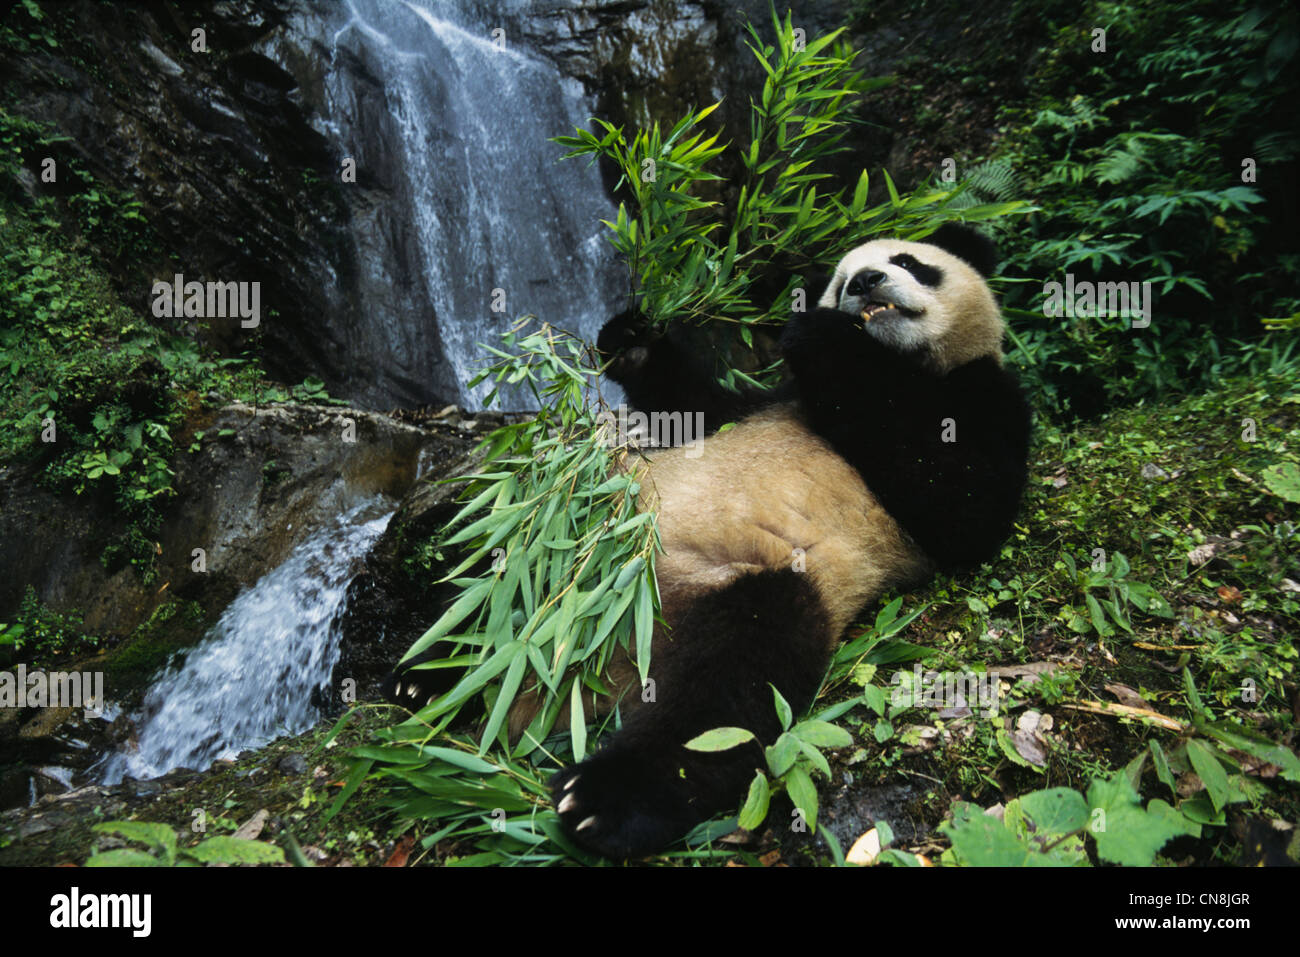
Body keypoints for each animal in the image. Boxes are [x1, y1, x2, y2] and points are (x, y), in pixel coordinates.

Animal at [387, 223, 1032, 860]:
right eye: (842, 279)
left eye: (908, 261)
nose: (867, 282)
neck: (909, 364)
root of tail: (590, 653)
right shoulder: (771, 399)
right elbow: (695, 407)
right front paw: (633, 336)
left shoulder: (985, 398)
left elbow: (963, 505)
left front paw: (829, 340)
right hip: (571, 531)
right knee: (487, 572)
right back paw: (430, 671)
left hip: (749, 586)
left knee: (723, 691)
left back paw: (600, 801)